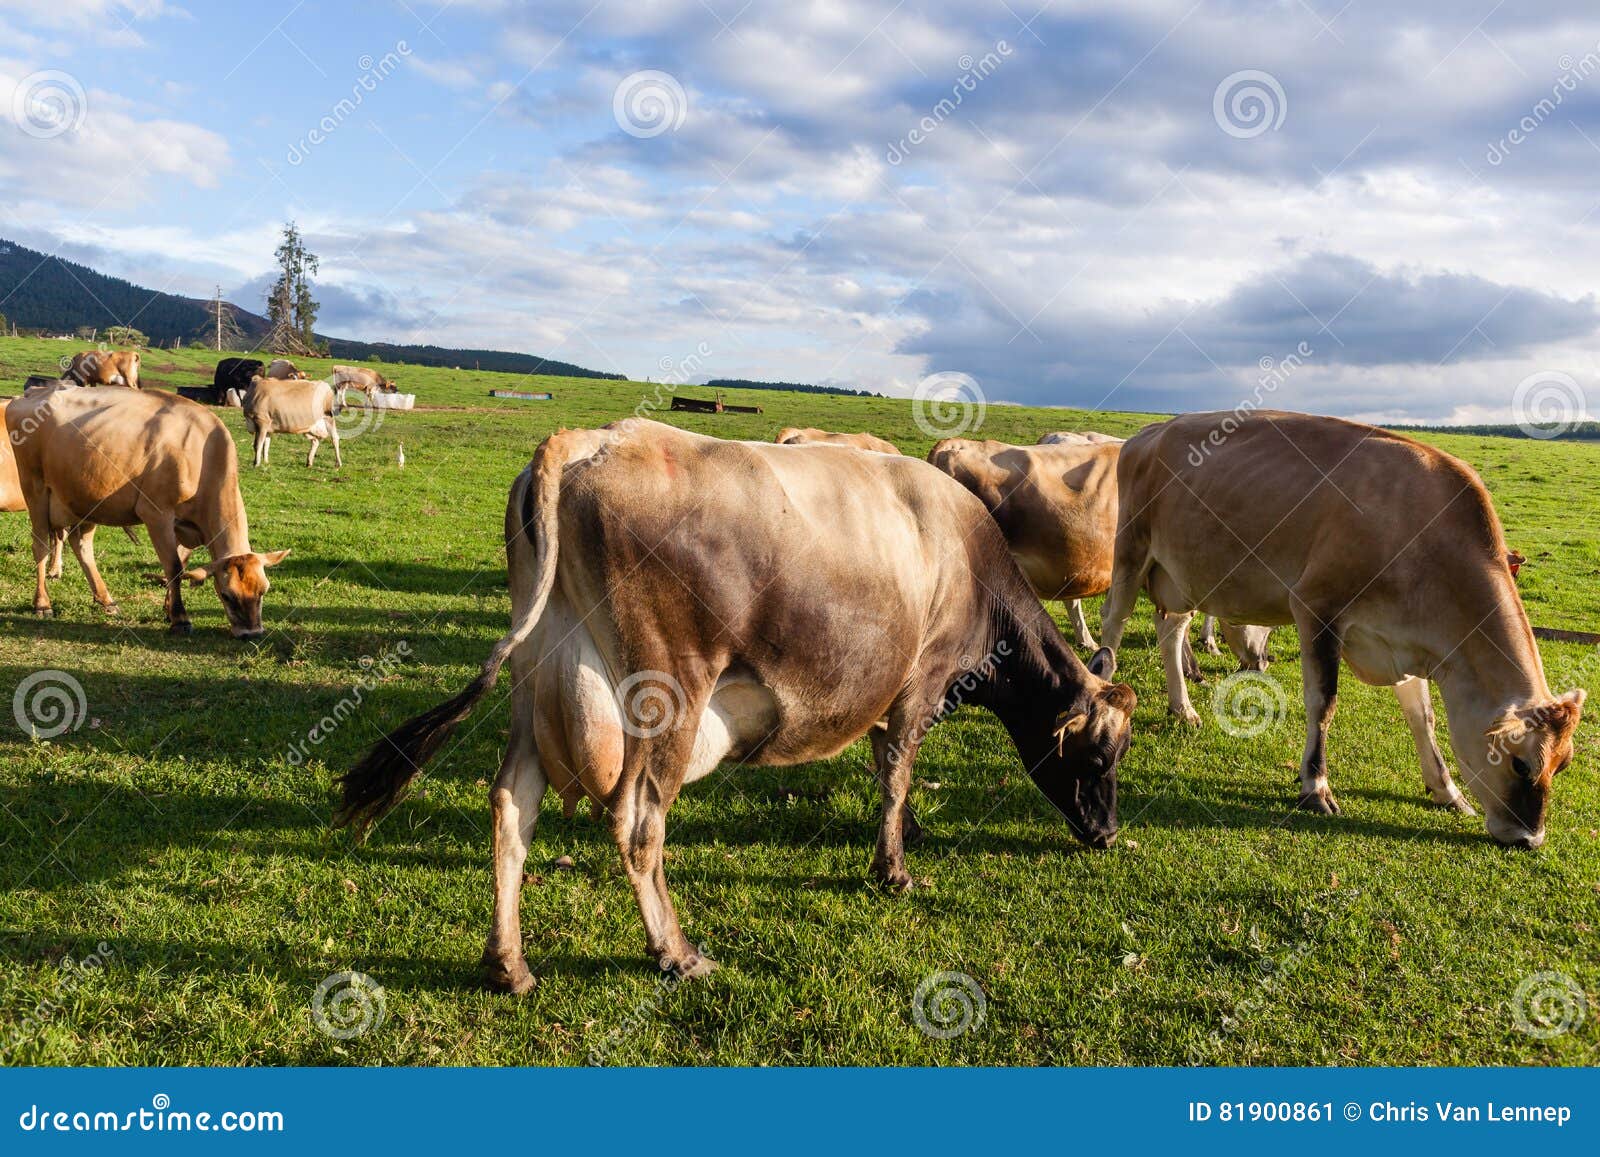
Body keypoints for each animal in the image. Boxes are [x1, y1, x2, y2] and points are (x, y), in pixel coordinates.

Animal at [4, 382, 289, 636]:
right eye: (227, 595)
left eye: (263, 590)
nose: (251, 632)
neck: (202, 453)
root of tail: (33, 392)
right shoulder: (156, 514)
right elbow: (173, 567)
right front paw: (180, 619)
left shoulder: (182, 526)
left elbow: (179, 564)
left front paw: (168, 609)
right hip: (36, 489)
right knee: (41, 544)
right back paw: (43, 603)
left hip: (86, 497)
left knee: (81, 544)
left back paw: (105, 599)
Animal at [336, 418, 1136, 990]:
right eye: (1101, 754)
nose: (1105, 833)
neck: (971, 563)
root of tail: (591, 439)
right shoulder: (921, 683)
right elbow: (897, 772)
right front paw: (895, 869)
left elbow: (885, 767)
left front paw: (899, 843)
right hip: (669, 692)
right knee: (637, 821)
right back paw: (675, 951)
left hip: (542, 682)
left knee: (511, 803)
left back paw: (509, 963)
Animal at [1099, 410, 1584, 848]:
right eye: (1520, 764)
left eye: (1562, 765)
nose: (1530, 839)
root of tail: (1151, 431)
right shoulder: (1317, 608)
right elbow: (1323, 703)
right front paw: (1315, 787)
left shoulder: (1402, 644)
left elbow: (1423, 717)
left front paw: (1446, 790)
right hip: (1130, 551)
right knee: (1112, 626)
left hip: (1184, 576)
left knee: (1171, 631)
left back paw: (1183, 708)